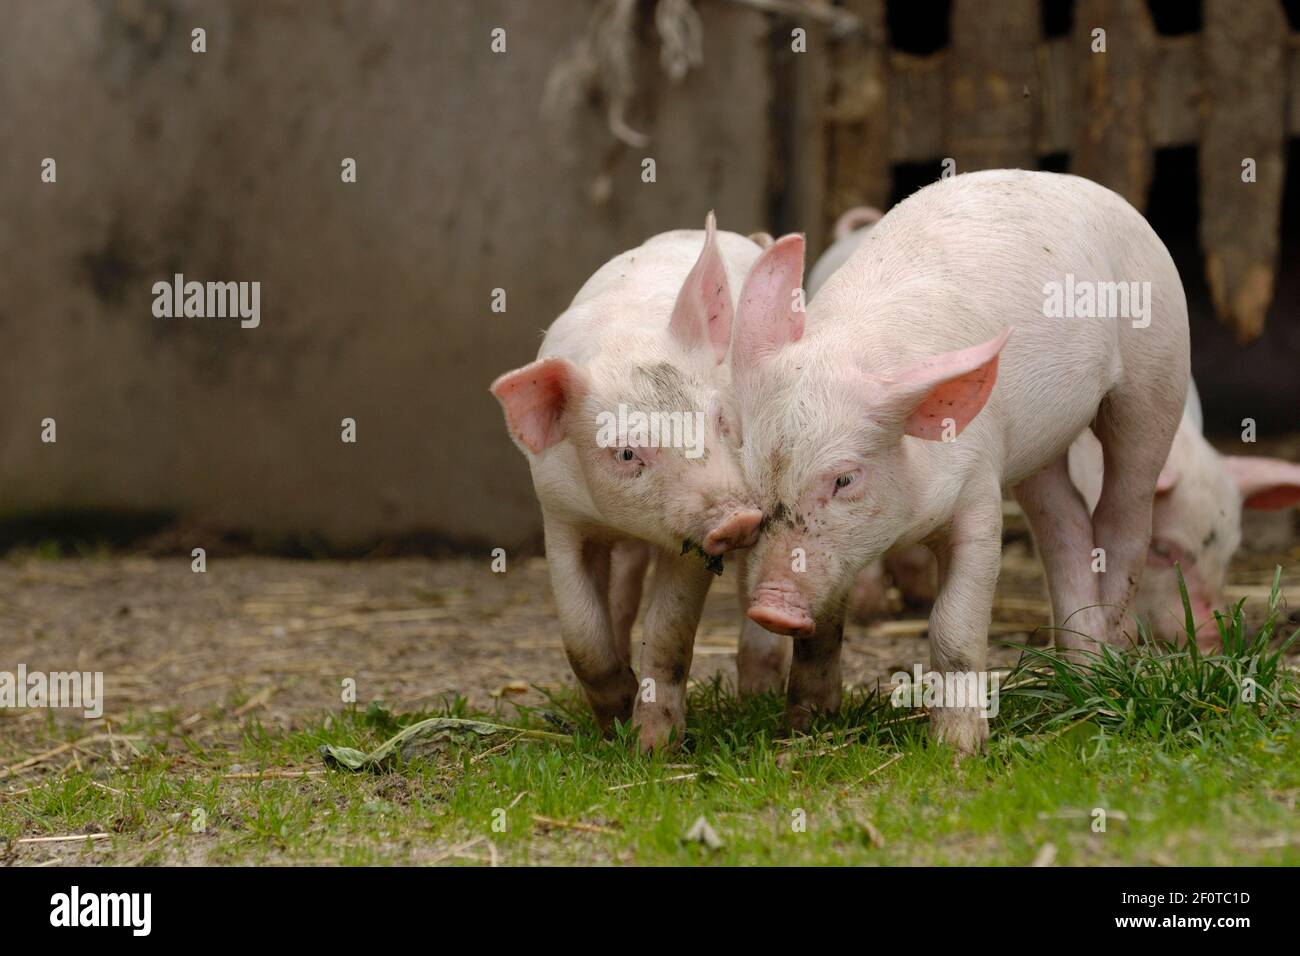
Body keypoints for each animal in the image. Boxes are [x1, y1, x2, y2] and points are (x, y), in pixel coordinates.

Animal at [491, 214, 764, 749]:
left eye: (721, 419)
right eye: (625, 452)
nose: (737, 519)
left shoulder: (691, 543)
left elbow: (668, 632)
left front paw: (653, 747)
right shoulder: (559, 513)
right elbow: (581, 633)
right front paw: (613, 720)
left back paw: (758, 695)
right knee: (622, 594)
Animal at [730, 169, 1190, 753]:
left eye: (845, 478)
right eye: (751, 472)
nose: (770, 606)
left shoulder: (978, 492)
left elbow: (955, 627)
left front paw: (958, 749)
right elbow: (825, 625)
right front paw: (803, 724)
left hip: (1157, 376)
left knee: (1126, 510)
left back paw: (1109, 648)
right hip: (1034, 448)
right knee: (1063, 521)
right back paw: (1083, 669)